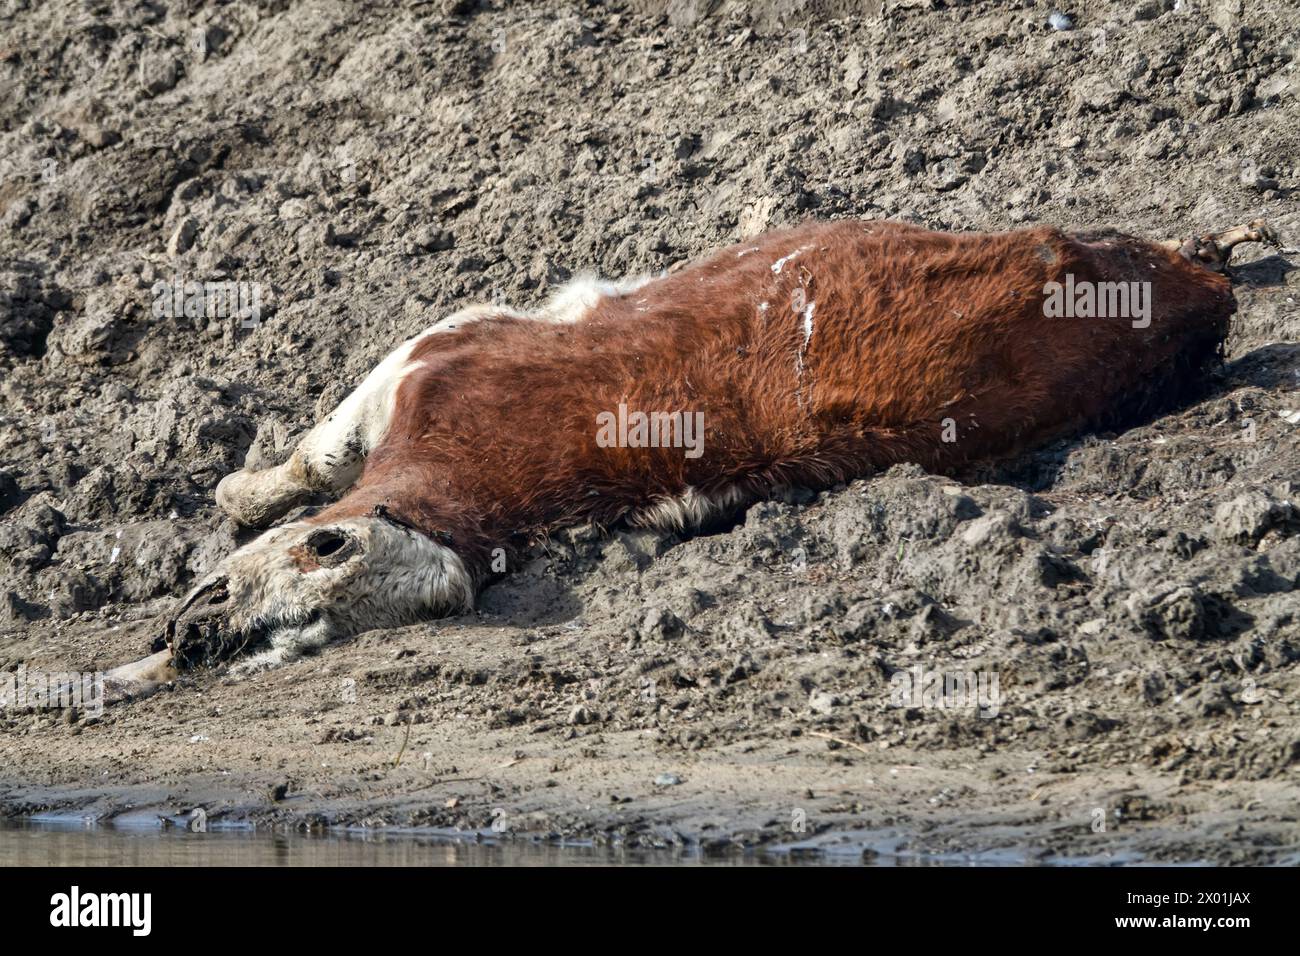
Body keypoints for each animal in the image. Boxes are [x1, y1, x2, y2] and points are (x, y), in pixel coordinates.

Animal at [102, 217, 1278, 699]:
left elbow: (316, 447)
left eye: (287, 623)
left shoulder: (444, 349)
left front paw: (236, 485)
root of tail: (1197, 297)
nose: (195, 637)